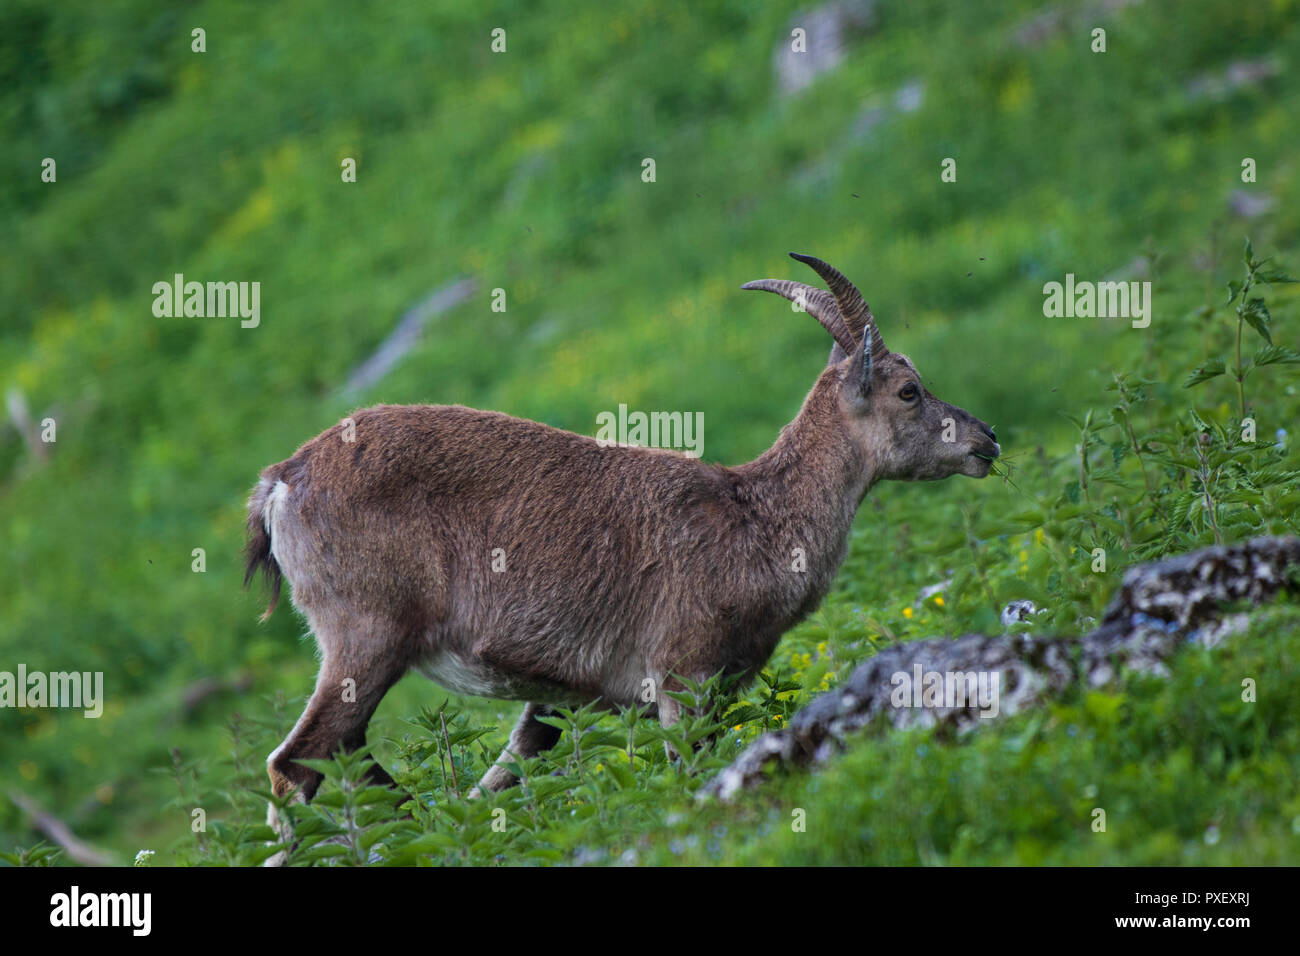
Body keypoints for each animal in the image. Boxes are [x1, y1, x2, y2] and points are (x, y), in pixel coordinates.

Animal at [244, 253, 999, 859]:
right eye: (909, 391)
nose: (987, 439)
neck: (756, 517)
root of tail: (281, 480)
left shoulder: (564, 701)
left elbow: (504, 777)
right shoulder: (684, 677)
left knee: (347, 757)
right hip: (367, 635)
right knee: (295, 763)